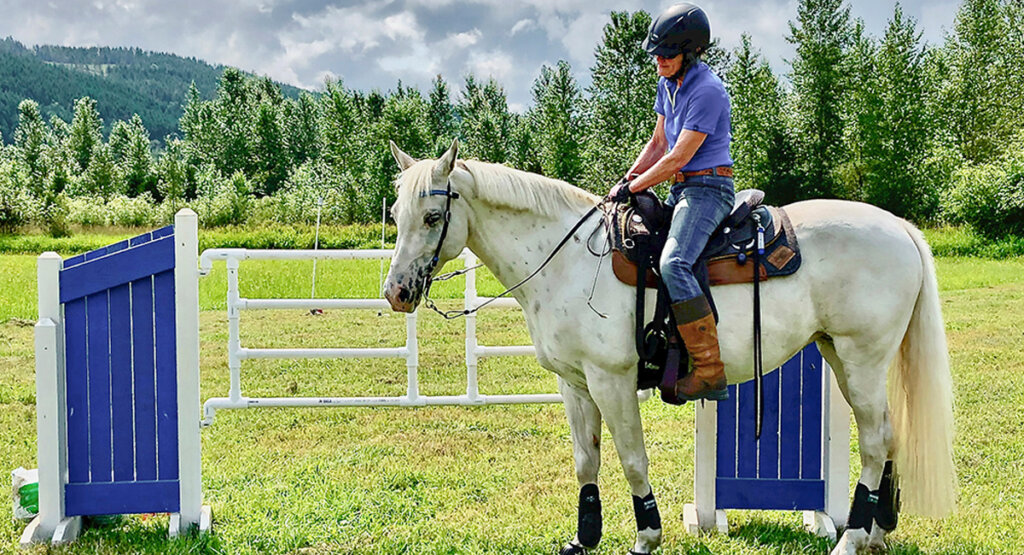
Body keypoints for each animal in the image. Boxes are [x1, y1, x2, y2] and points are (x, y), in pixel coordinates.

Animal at [382, 139, 956, 555]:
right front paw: (583, 538)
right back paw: (877, 531)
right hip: (836, 352)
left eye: (432, 218)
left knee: (877, 439)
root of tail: (899, 227)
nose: (396, 292)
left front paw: (646, 537)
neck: (568, 260)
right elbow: (586, 461)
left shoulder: (612, 381)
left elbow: (633, 459)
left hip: (862, 358)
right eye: (395, 216)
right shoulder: (574, 384)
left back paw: (853, 538)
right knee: (889, 437)